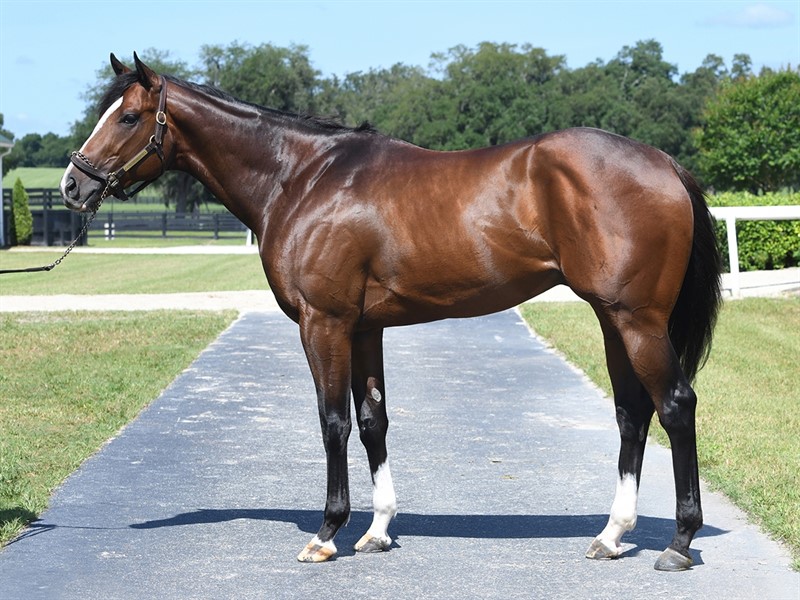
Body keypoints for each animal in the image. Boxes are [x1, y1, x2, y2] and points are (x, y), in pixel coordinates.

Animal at [61, 53, 721, 571]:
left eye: (127, 116)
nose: (72, 185)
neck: (301, 178)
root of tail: (664, 163)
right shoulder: (364, 329)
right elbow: (373, 420)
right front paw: (377, 531)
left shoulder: (323, 323)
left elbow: (333, 422)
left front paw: (327, 533)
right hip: (614, 318)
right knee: (632, 413)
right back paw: (611, 537)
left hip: (636, 319)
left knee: (675, 405)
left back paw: (678, 543)